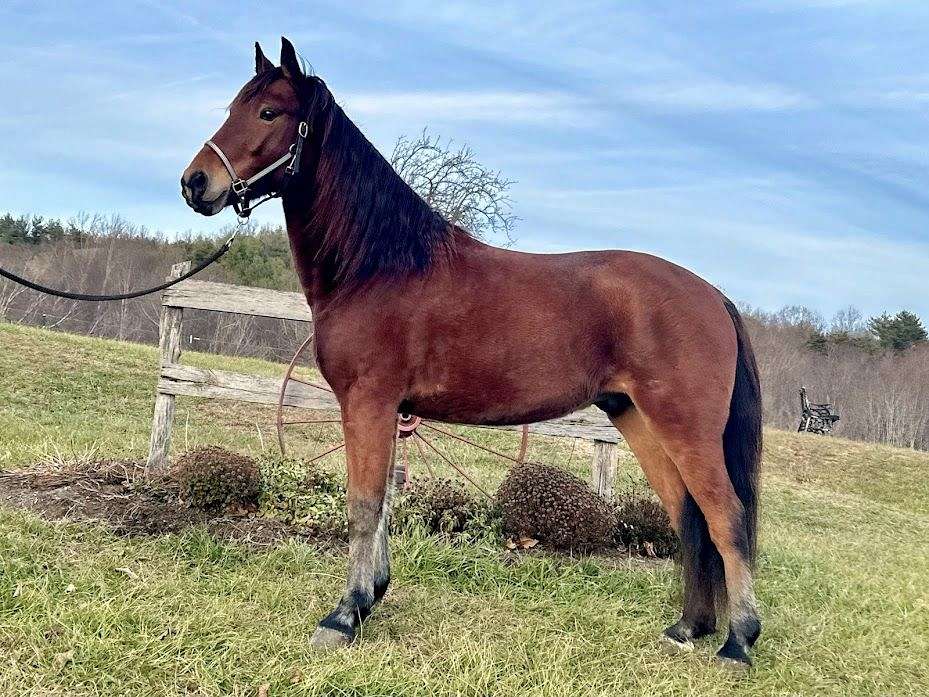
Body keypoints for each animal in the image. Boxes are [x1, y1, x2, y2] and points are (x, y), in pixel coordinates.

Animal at [181, 38, 763, 667]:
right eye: (234, 107)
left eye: (270, 112)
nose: (195, 183)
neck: (379, 266)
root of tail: (712, 296)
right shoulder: (389, 412)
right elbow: (383, 502)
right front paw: (370, 596)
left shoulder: (367, 403)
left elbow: (362, 506)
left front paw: (343, 616)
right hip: (638, 419)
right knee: (690, 519)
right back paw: (689, 627)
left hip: (685, 428)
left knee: (725, 518)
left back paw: (738, 642)